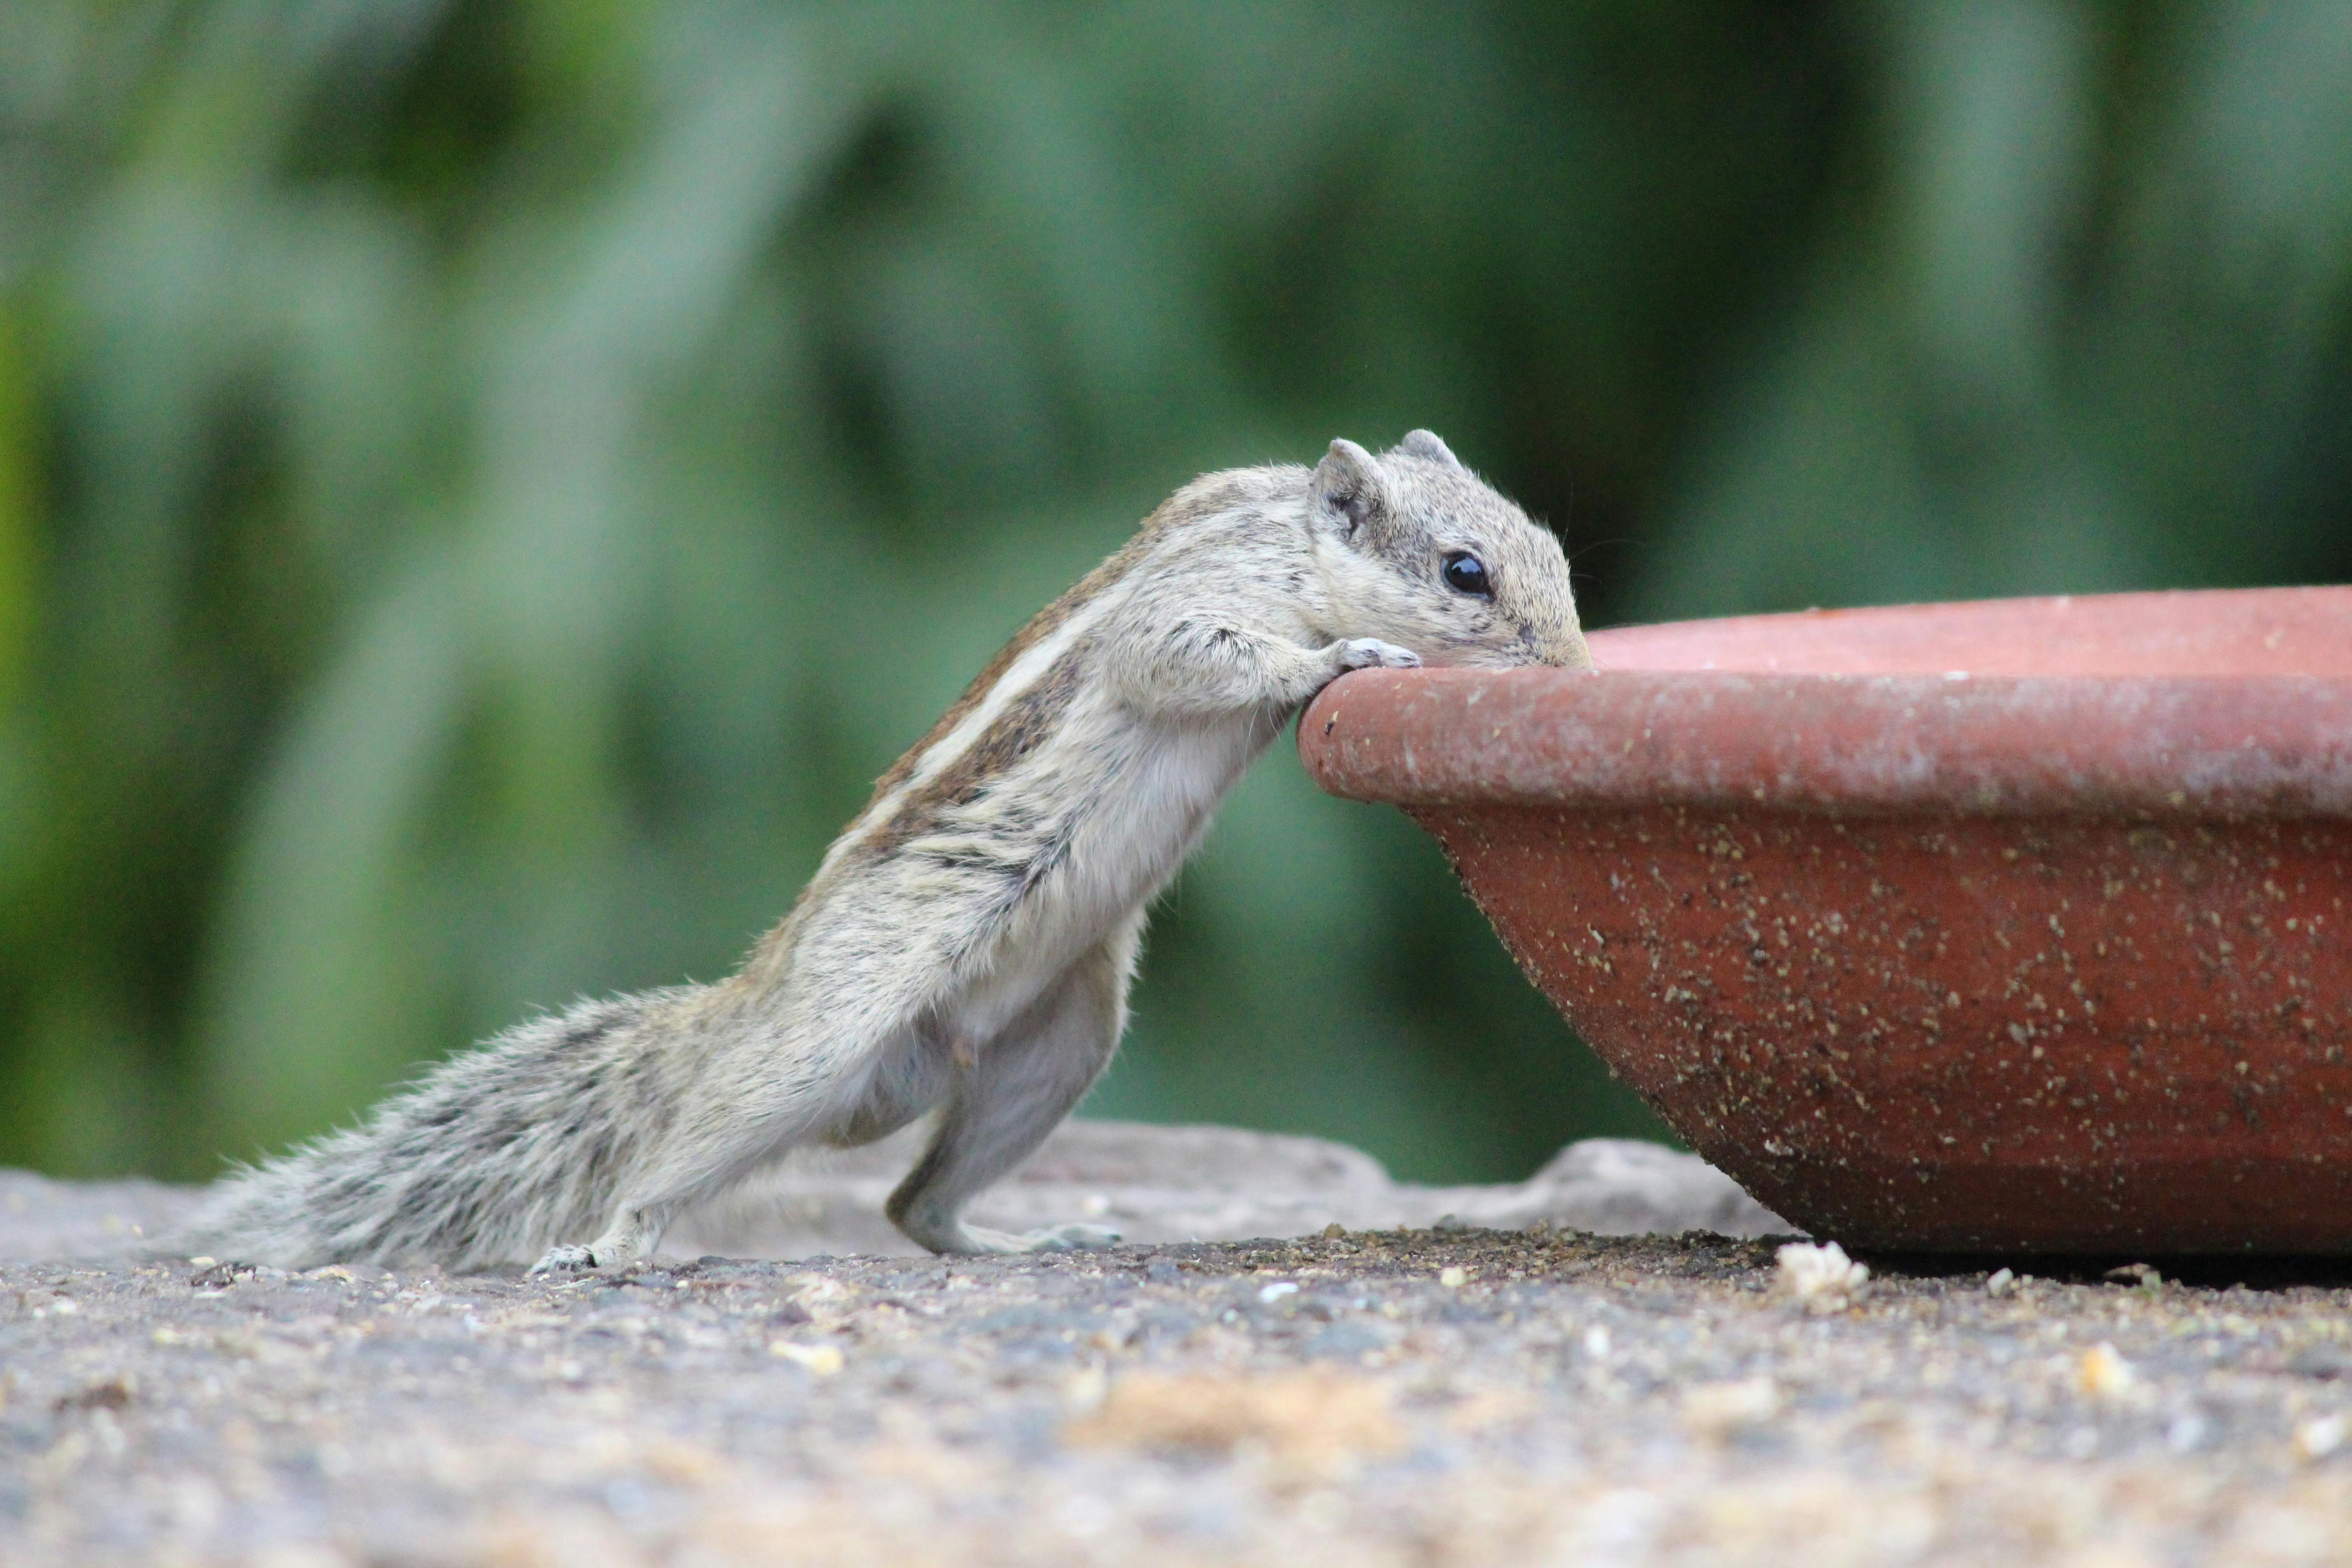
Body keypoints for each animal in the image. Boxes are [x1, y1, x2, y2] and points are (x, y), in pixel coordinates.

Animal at [178, 431, 1591, 1272]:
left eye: (1552, 546)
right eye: (1466, 573)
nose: (1574, 665)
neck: (1287, 532)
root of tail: (754, 991)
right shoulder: (1191, 604)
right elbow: (1181, 655)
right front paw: (1343, 657)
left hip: (1058, 1049)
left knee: (916, 1207)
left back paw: (1026, 1241)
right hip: (825, 1034)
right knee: (687, 1146)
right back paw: (623, 1242)